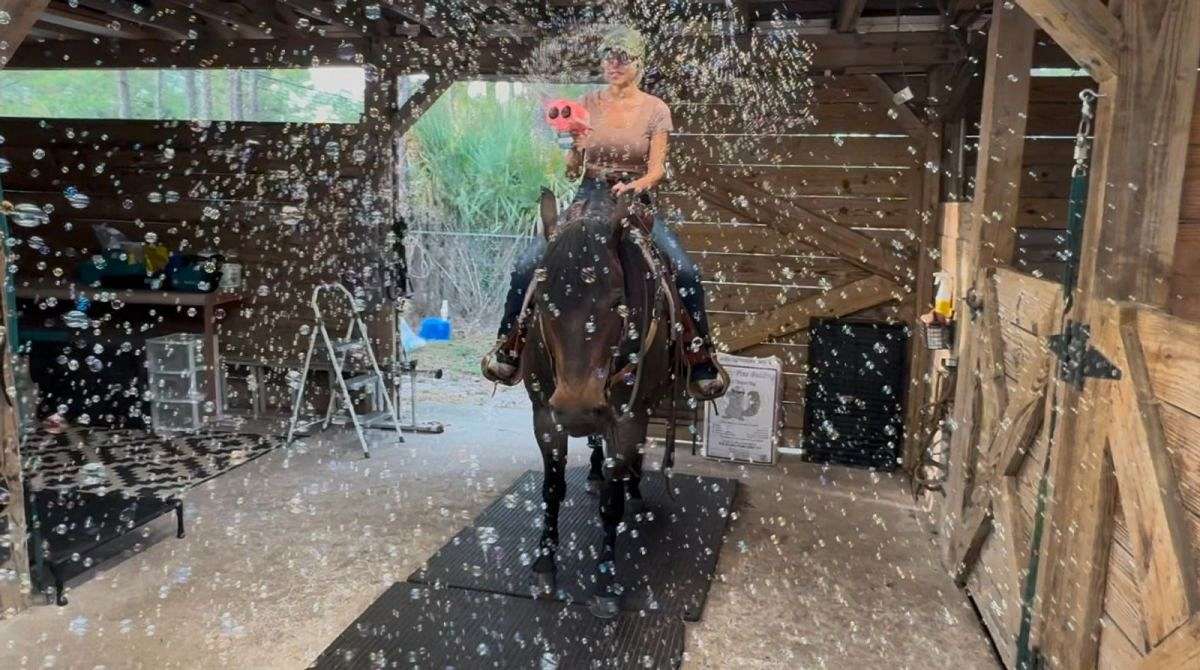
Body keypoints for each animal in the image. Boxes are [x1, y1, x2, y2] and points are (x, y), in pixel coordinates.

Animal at [520, 186, 678, 619]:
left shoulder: (628, 418)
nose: (578, 408)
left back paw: (634, 492)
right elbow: (552, 488)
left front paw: (606, 581)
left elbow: (612, 500)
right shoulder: (545, 416)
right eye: (543, 298)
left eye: (616, 301)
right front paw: (544, 566)